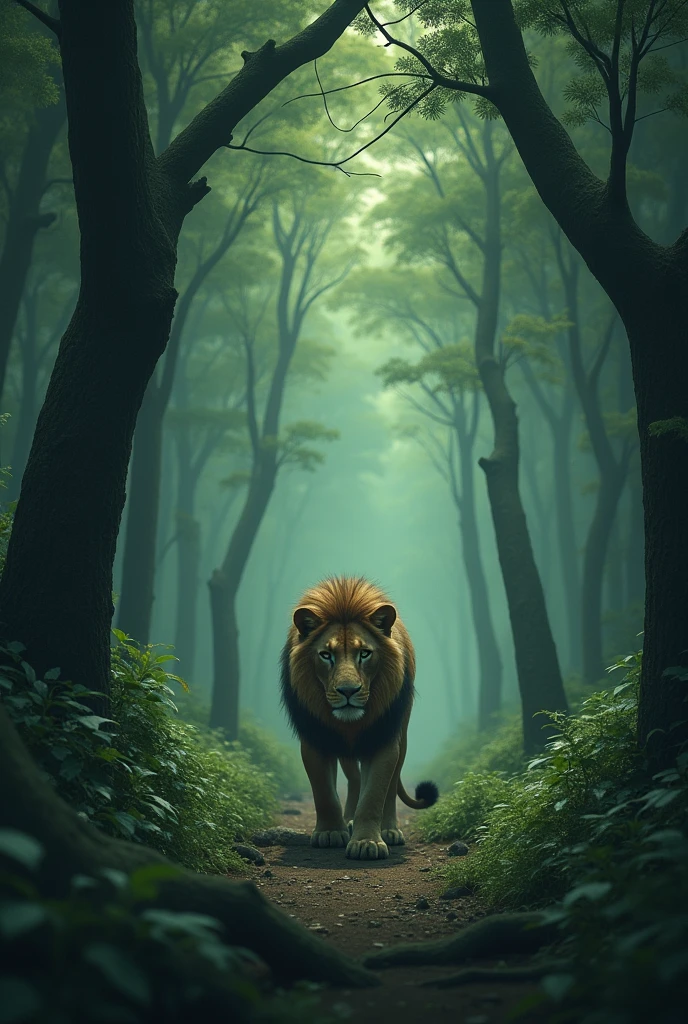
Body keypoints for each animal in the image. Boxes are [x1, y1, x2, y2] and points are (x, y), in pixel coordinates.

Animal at [280, 576, 438, 860]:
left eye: (364, 653)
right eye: (326, 655)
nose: (348, 691)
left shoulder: (383, 739)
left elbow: (374, 794)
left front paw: (367, 842)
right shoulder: (314, 738)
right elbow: (324, 792)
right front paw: (331, 832)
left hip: (401, 737)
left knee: (389, 786)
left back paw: (388, 830)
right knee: (354, 780)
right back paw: (347, 820)